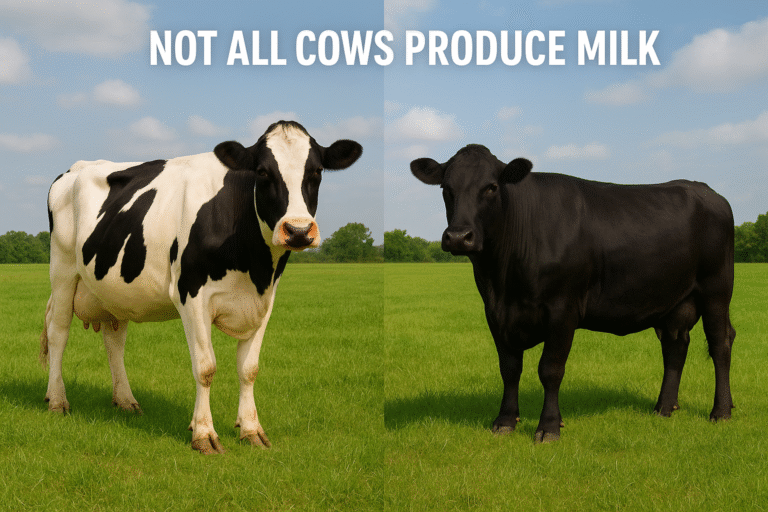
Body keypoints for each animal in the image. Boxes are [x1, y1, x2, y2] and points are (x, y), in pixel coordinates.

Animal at [40, 120, 362, 454]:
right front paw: (204, 434)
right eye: (262, 172)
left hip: (112, 291)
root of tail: (75, 168)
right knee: (58, 332)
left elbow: (249, 369)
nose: (298, 231)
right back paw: (58, 401)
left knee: (114, 341)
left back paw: (126, 400)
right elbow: (206, 368)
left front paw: (251, 430)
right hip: (63, 270)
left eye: (317, 171)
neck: (253, 266)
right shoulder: (191, 295)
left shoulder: (264, 300)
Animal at [410, 144, 736, 443]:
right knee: (675, 345)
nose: (458, 237)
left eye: (491, 187)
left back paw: (720, 411)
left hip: (717, 289)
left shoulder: (562, 309)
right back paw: (664, 408)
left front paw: (549, 427)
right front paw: (505, 421)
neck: (503, 281)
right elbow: (509, 368)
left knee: (720, 343)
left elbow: (550, 369)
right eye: (446, 188)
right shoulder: (495, 313)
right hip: (675, 300)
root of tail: (706, 190)